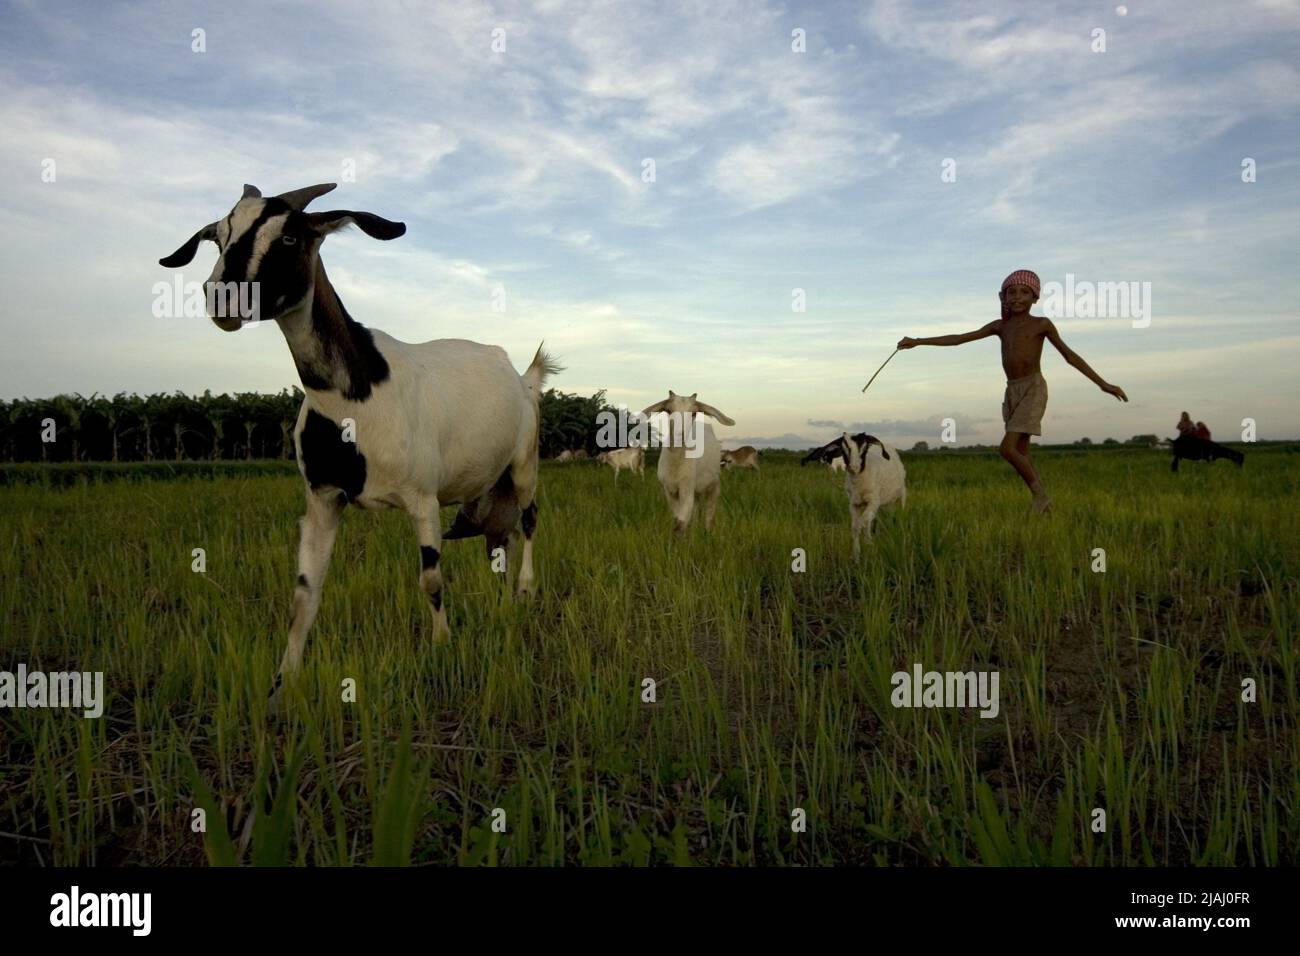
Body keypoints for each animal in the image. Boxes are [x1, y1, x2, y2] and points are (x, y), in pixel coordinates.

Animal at [159, 183, 560, 704]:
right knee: (499, 539)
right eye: (219, 237)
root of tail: (522, 377)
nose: (223, 296)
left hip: (524, 461)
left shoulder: (422, 499)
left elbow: (431, 580)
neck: (358, 391)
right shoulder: (323, 498)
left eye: (290, 236)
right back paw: (504, 602)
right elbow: (304, 594)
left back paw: (526, 592)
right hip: (488, 487)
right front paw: (282, 685)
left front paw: (442, 648)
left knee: (529, 521)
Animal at [641, 391, 734, 534]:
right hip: (696, 490)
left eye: (694, 413)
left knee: (709, 512)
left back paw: (707, 532)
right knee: (696, 511)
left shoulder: (686, 487)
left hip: (714, 485)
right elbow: (677, 519)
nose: (680, 434)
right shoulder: (670, 491)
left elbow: (680, 524)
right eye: (668, 410)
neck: (675, 466)